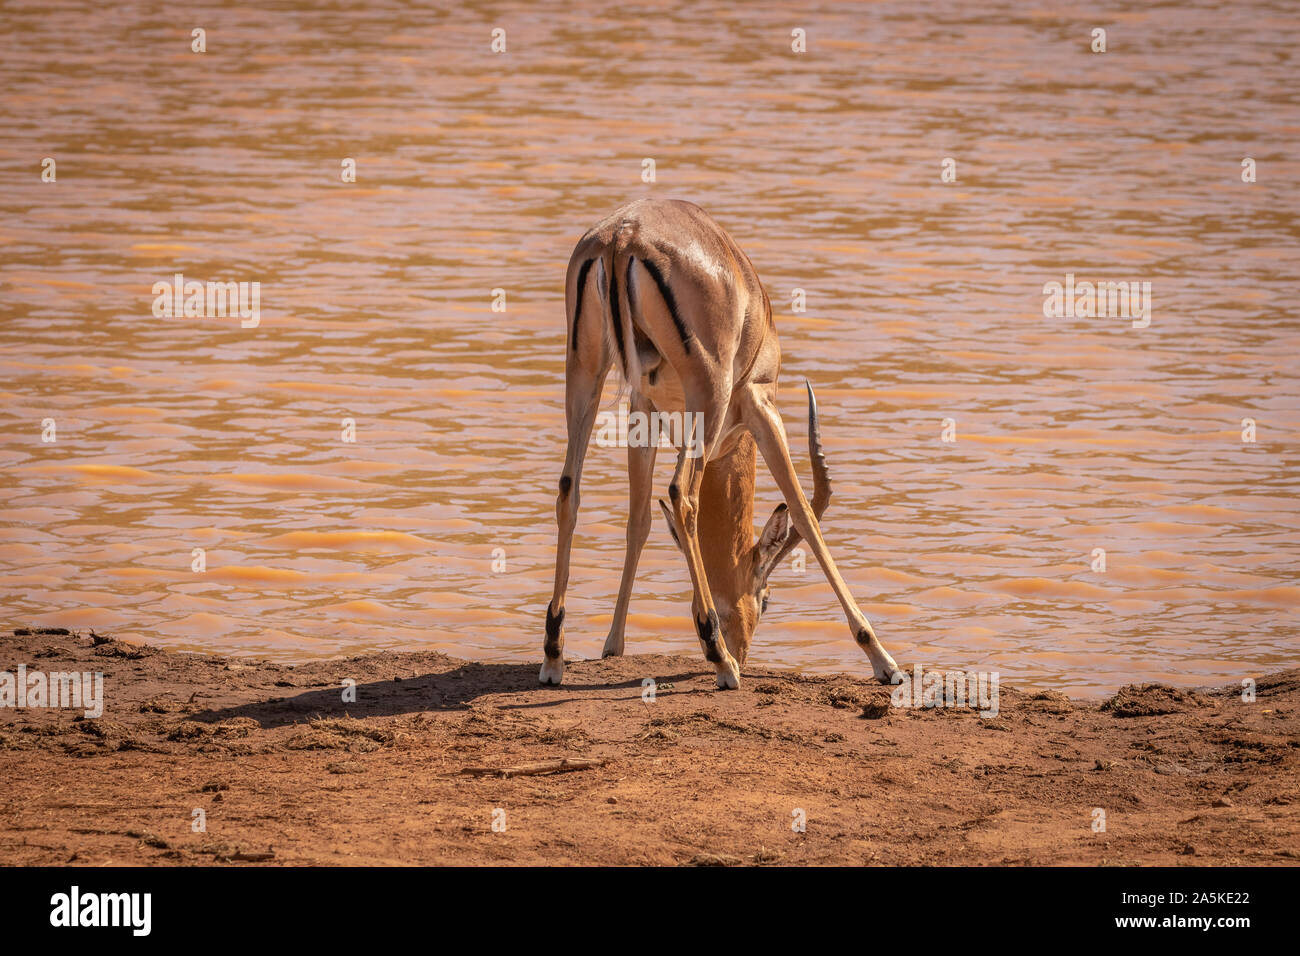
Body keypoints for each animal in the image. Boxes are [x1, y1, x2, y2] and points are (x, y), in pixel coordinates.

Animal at [541, 198, 901, 689]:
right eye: (766, 598)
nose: (745, 650)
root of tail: (623, 235)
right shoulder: (759, 403)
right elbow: (804, 513)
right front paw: (882, 657)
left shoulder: (644, 407)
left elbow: (640, 521)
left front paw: (613, 643)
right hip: (709, 394)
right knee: (682, 493)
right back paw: (721, 660)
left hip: (585, 376)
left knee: (568, 490)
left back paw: (554, 654)